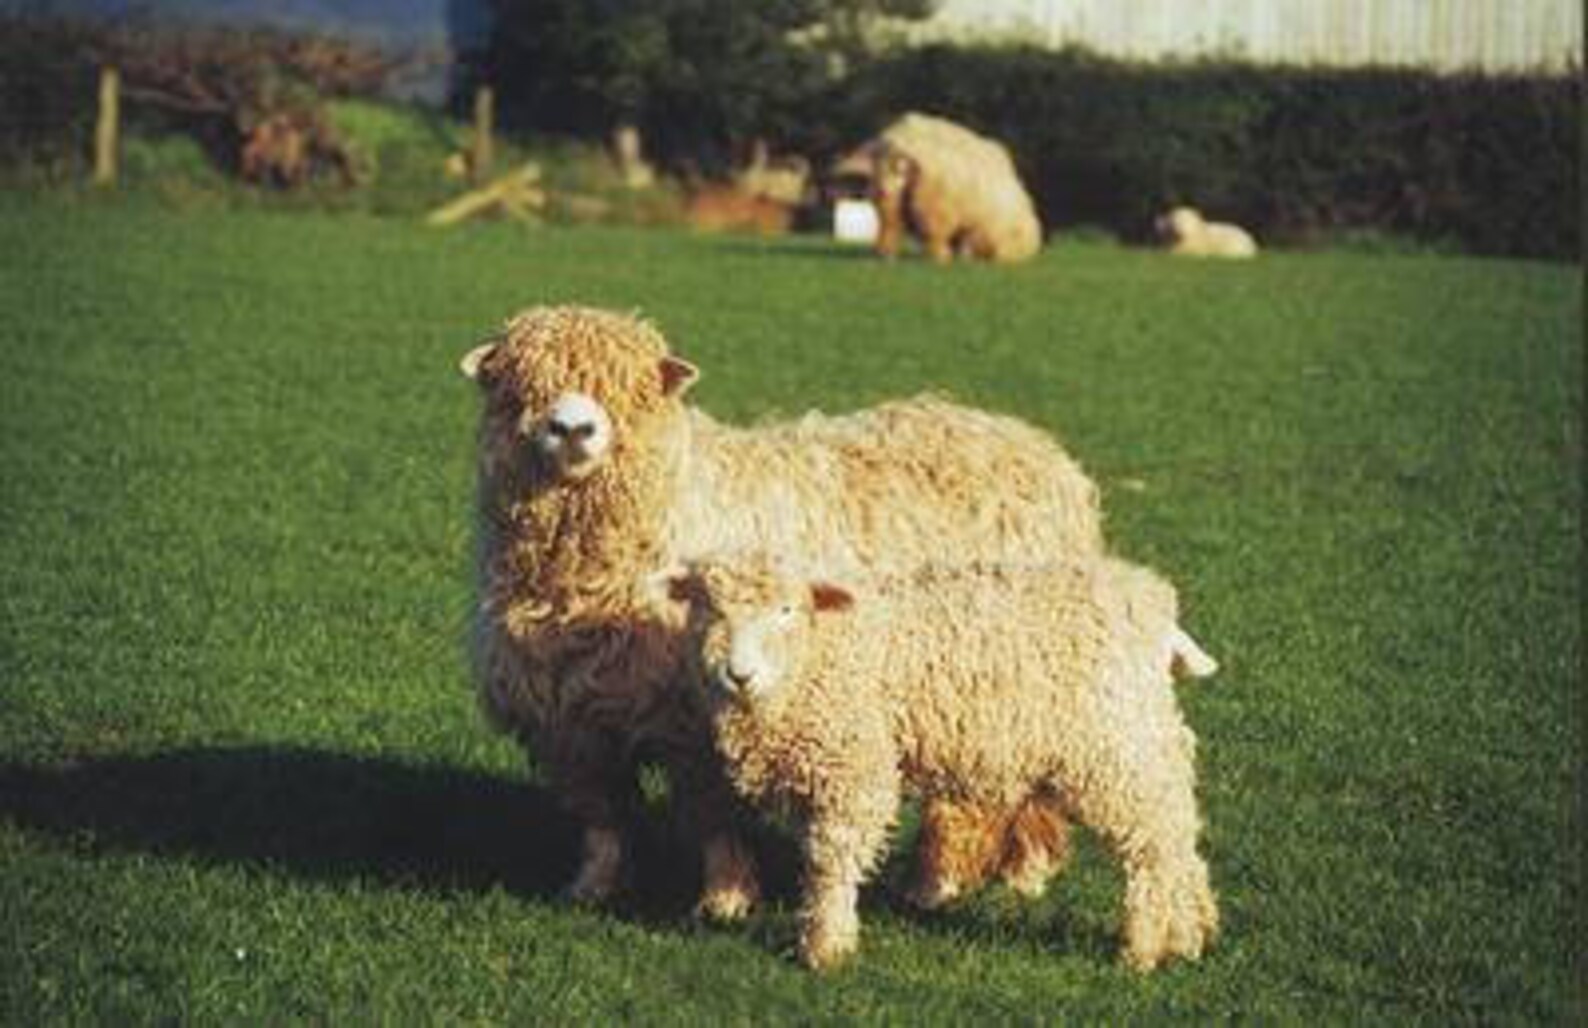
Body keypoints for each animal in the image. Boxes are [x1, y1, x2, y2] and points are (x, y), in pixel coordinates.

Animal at [460, 305, 1104, 920]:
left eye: (633, 392)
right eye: (519, 387)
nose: (572, 429)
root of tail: (1038, 449)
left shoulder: (699, 717)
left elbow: (713, 816)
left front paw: (725, 898)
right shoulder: (569, 716)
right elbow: (603, 818)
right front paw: (593, 887)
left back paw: (941, 882)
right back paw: (1024, 869)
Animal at [660, 552, 1219, 971]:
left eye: (786, 610)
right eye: (709, 609)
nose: (739, 674)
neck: (818, 653)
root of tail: (1151, 607)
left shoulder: (853, 766)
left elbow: (831, 859)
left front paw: (825, 946)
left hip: (1113, 748)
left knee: (1153, 845)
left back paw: (1144, 948)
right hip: (1143, 738)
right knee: (1177, 829)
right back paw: (1188, 934)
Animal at [847, 112, 1043, 264]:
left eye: (900, 168)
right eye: (876, 167)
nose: (881, 190)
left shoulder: (937, 211)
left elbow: (935, 235)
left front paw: (939, 259)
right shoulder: (893, 208)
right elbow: (890, 228)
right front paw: (885, 255)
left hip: (991, 236)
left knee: (982, 249)